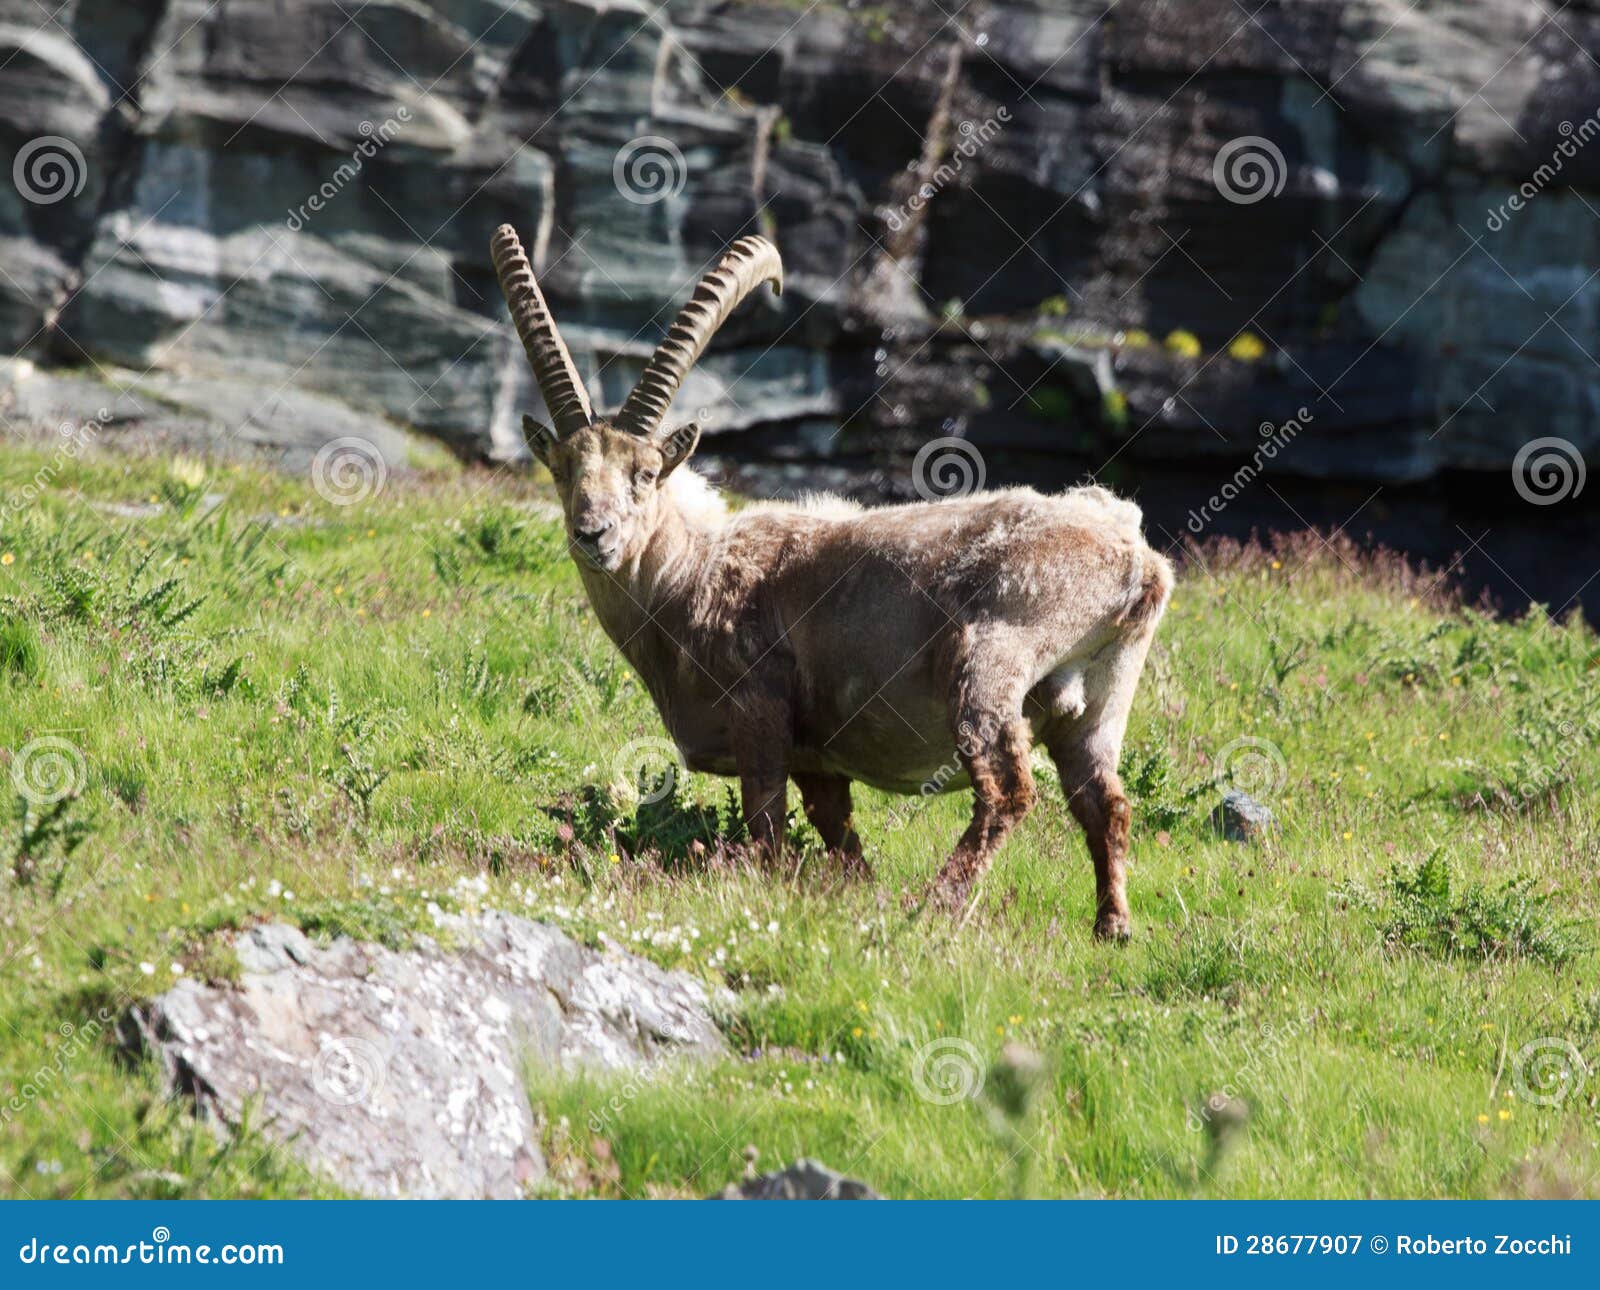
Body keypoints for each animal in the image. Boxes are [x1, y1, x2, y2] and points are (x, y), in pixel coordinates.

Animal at [491, 225, 1173, 938]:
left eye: (645, 473)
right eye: (563, 470)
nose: (592, 534)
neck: (690, 574)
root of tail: (1136, 561)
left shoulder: (760, 710)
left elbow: (766, 824)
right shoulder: (818, 757)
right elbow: (837, 831)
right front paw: (855, 894)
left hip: (989, 661)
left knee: (1009, 788)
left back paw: (933, 907)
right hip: (1100, 707)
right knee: (1105, 802)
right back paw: (1112, 928)